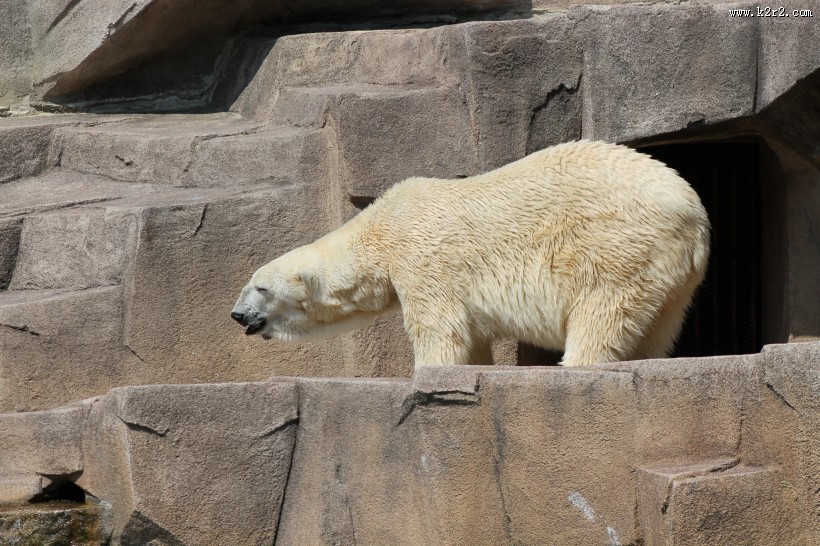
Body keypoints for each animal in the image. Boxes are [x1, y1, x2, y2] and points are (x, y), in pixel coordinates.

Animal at [231, 140, 710, 367]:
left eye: (260, 287)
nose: (237, 315)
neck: (381, 229)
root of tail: (693, 213)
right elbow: (473, 340)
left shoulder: (423, 260)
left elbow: (440, 332)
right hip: (670, 275)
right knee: (656, 325)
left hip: (615, 244)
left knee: (602, 311)